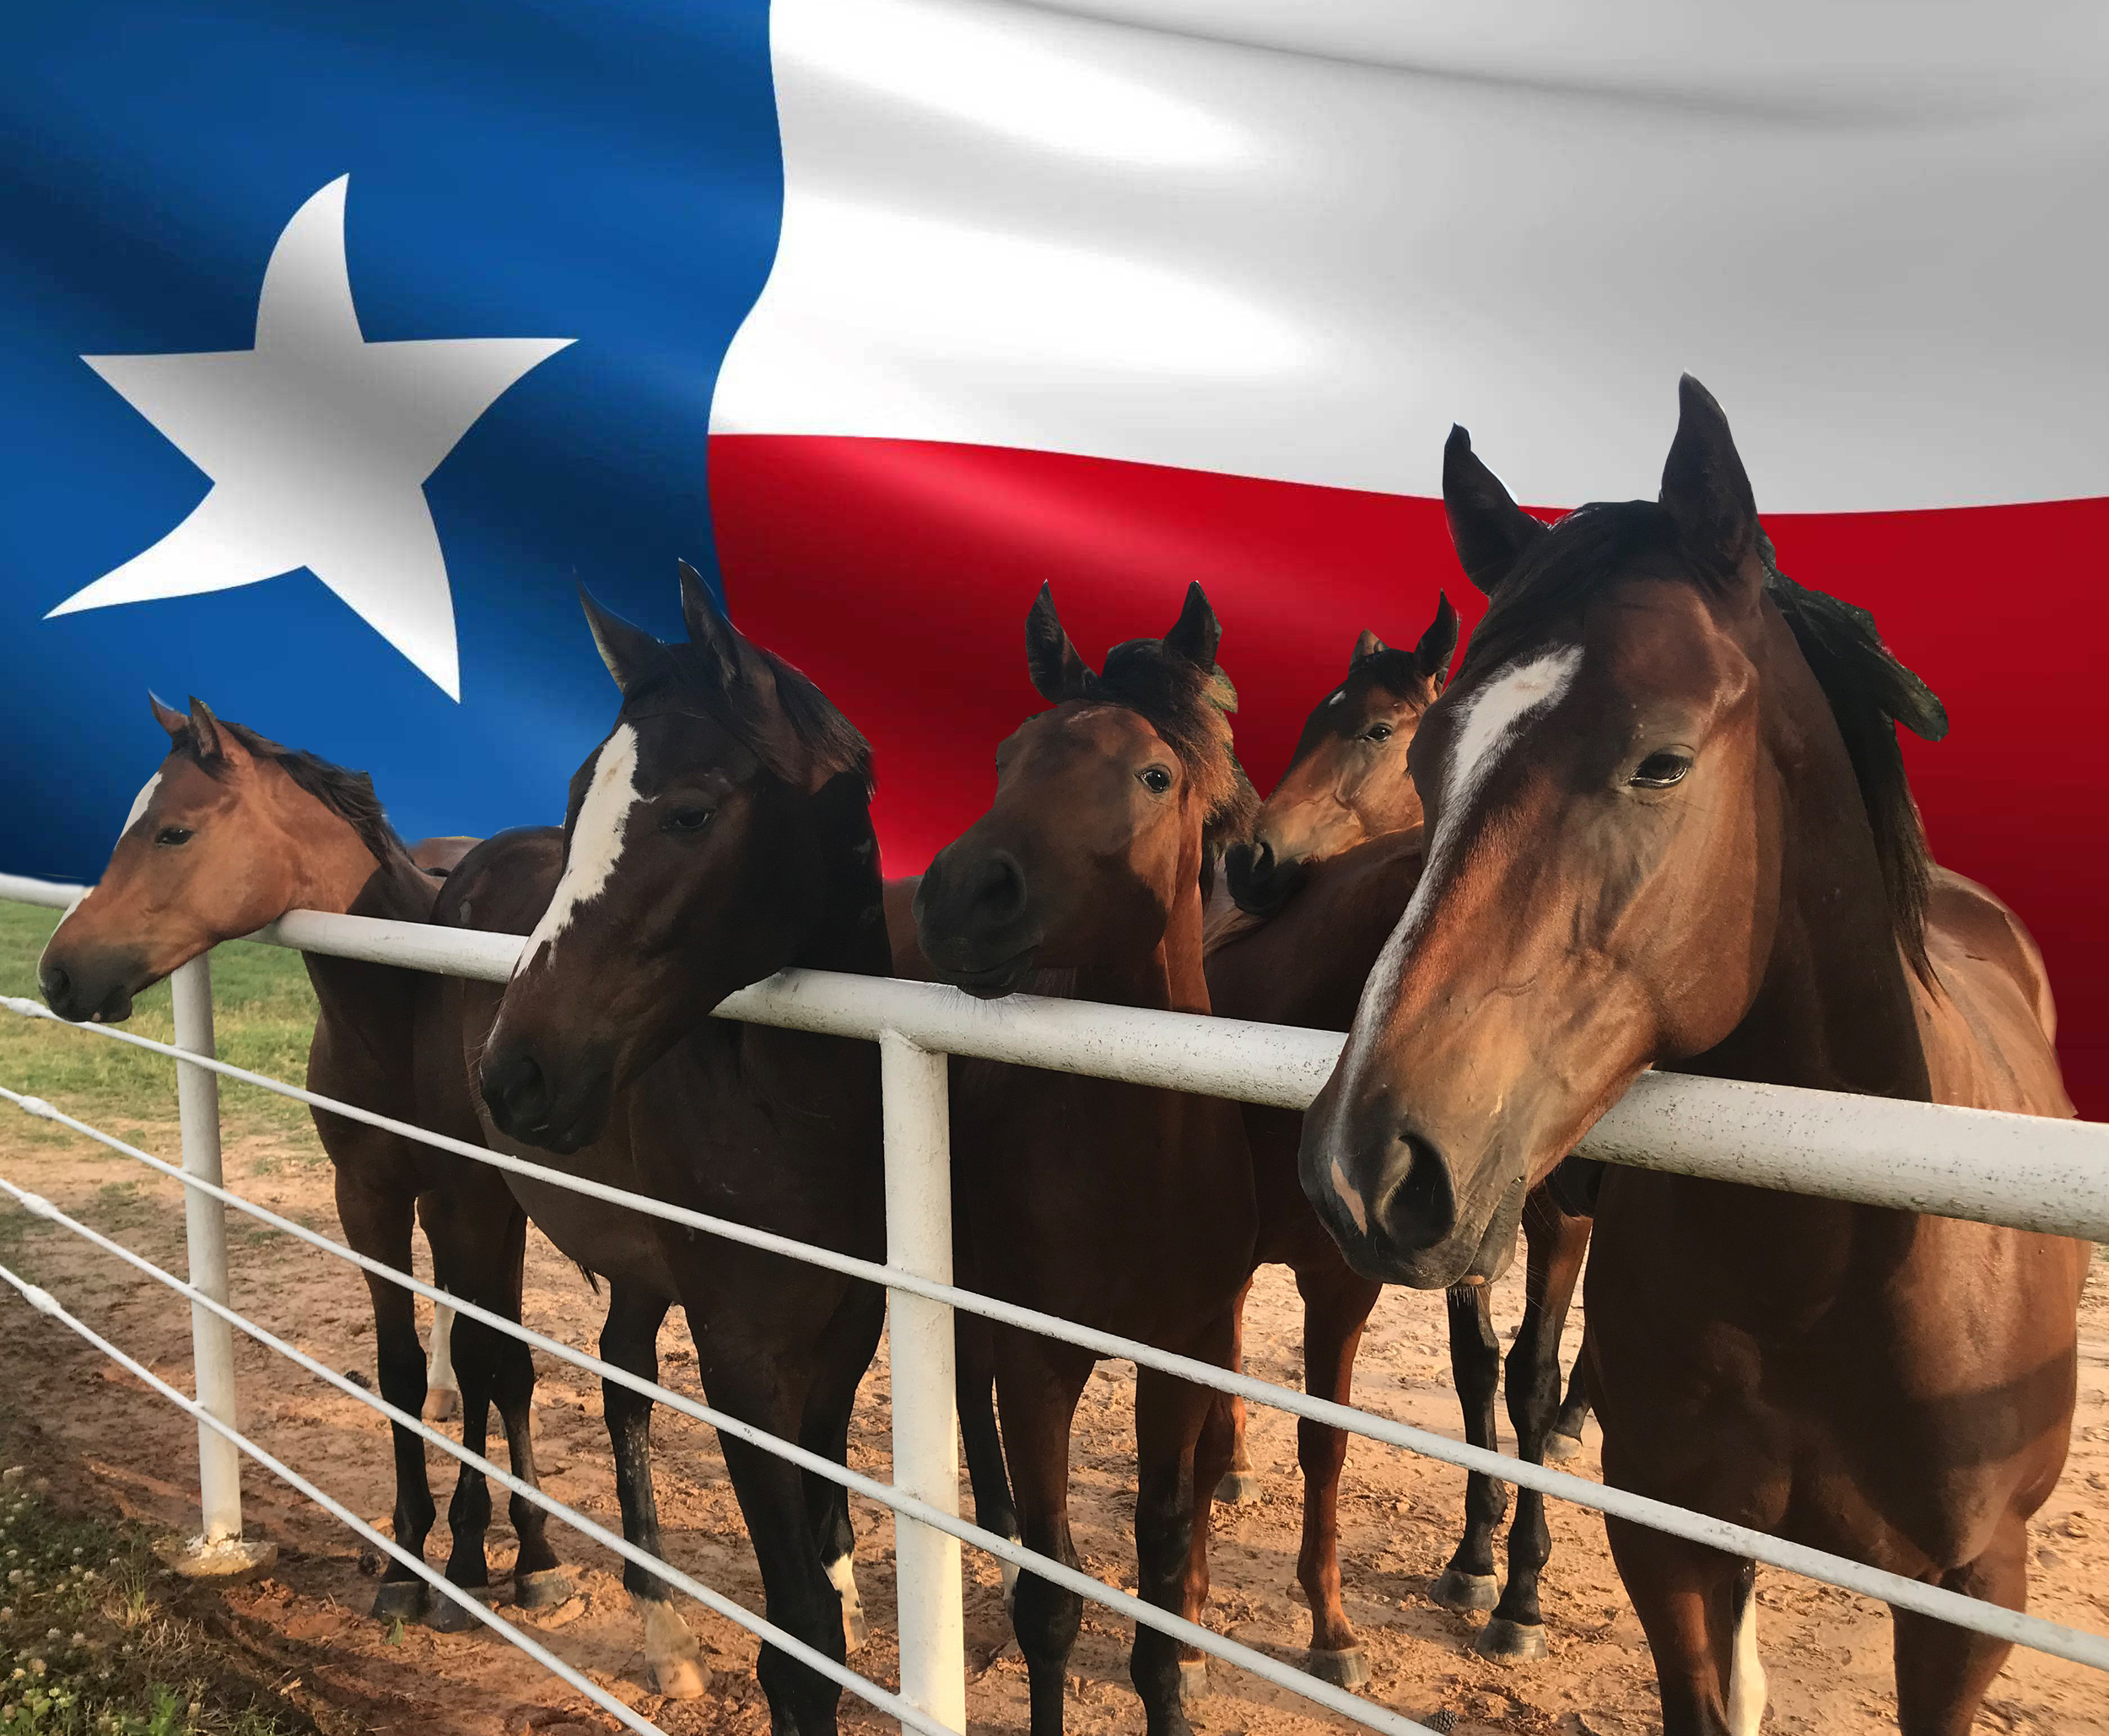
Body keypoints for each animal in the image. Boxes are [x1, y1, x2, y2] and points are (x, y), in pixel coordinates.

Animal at [34, 697, 564, 1629]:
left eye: (174, 831)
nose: (58, 972)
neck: (404, 1001)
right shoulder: (369, 1199)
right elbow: (398, 1371)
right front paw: (405, 1559)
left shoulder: (470, 1201)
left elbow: (489, 1361)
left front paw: (472, 1559)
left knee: (502, 1361)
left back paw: (529, 1543)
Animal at [463, 566, 899, 1736]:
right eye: (578, 803)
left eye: (691, 811)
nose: (513, 1075)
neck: (798, 1114)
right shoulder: (741, 1350)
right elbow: (799, 1639)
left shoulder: (845, 1333)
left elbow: (828, 1558)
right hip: (469, 1199)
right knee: (482, 1355)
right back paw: (488, 1565)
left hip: (635, 1255)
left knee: (619, 1376)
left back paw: (662, 1635)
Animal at [913, 581, 1258, 1736]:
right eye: (1008, 755)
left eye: (1152, 775)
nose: (962, 895)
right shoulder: (1039, 1360)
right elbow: (1051, 1598)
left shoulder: (1180, 1356)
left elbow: (1162, 1547)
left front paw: (1173, 1685)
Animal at [1203, 595, 1594, 1667]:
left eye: (1379, 731)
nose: (1249, 862)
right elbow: (1474, 1370)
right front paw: (1475, 1558)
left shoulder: (1547, 1227)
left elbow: (1523, 1377)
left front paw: (1518, 1591)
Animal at [1301, 377, 2087, 1735]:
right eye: (1431, 754)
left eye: (1660, 761)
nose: (1367, 1169)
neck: (1838, 1262)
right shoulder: (1672, 1545)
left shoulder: (1970, 1599)